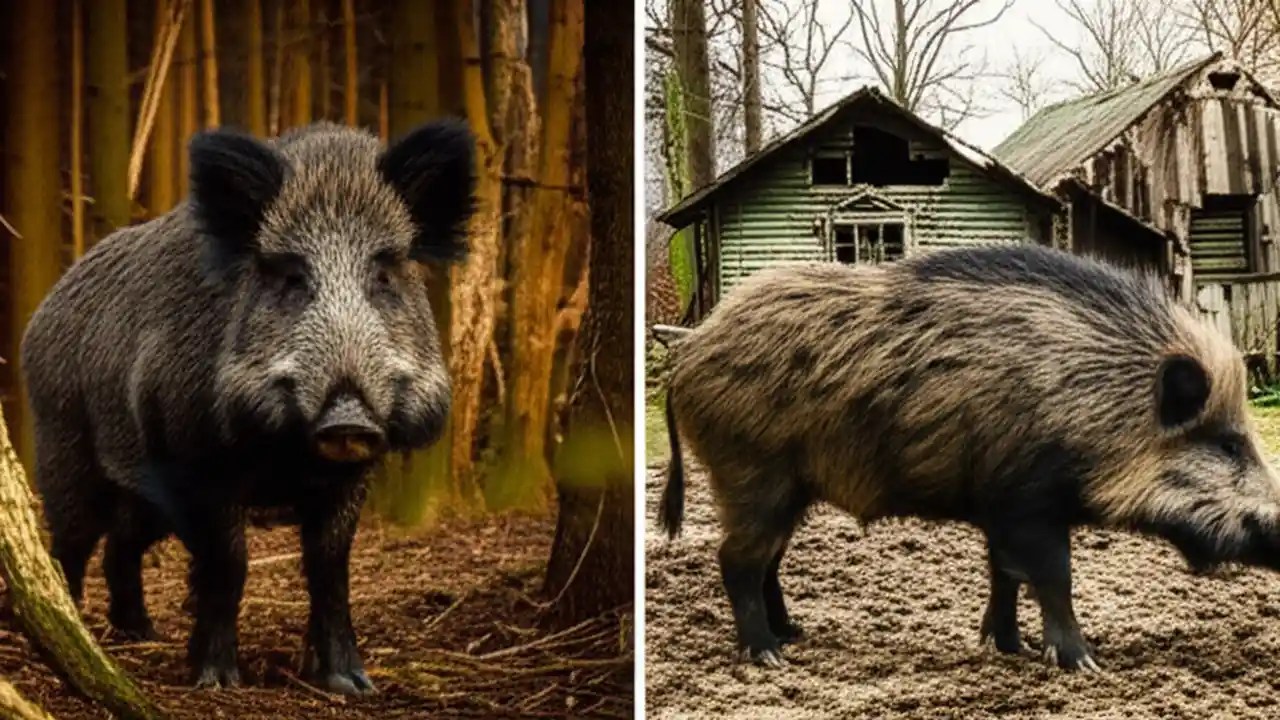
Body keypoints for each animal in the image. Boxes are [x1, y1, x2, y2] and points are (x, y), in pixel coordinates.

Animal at [20, 119, 475, 694]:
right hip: (65, 445)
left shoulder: (351, 477)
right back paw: (79, 630)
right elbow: (229, 564)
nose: (346, 415)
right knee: (68, 544)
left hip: (143, 496)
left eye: (384, 277)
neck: (286, 455)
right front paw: (216, 681)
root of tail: (40, 314)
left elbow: (330, 570)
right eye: (291, 278)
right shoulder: (200, 465)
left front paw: (350, 683)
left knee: (122, 545)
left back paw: (142, 634)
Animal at [659, 243, 1280, 671]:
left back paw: (795, 634)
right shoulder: (1026, 501)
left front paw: (1009, 648)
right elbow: (1053, 577)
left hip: (788, 490)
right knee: (737, 559)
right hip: (749, 472)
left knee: (768, 561)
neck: (1095, 400)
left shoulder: (999, 507)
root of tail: (691, 348)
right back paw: (769, 655)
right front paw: (1082, 664)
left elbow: (1003, 575)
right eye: (1227, 443)